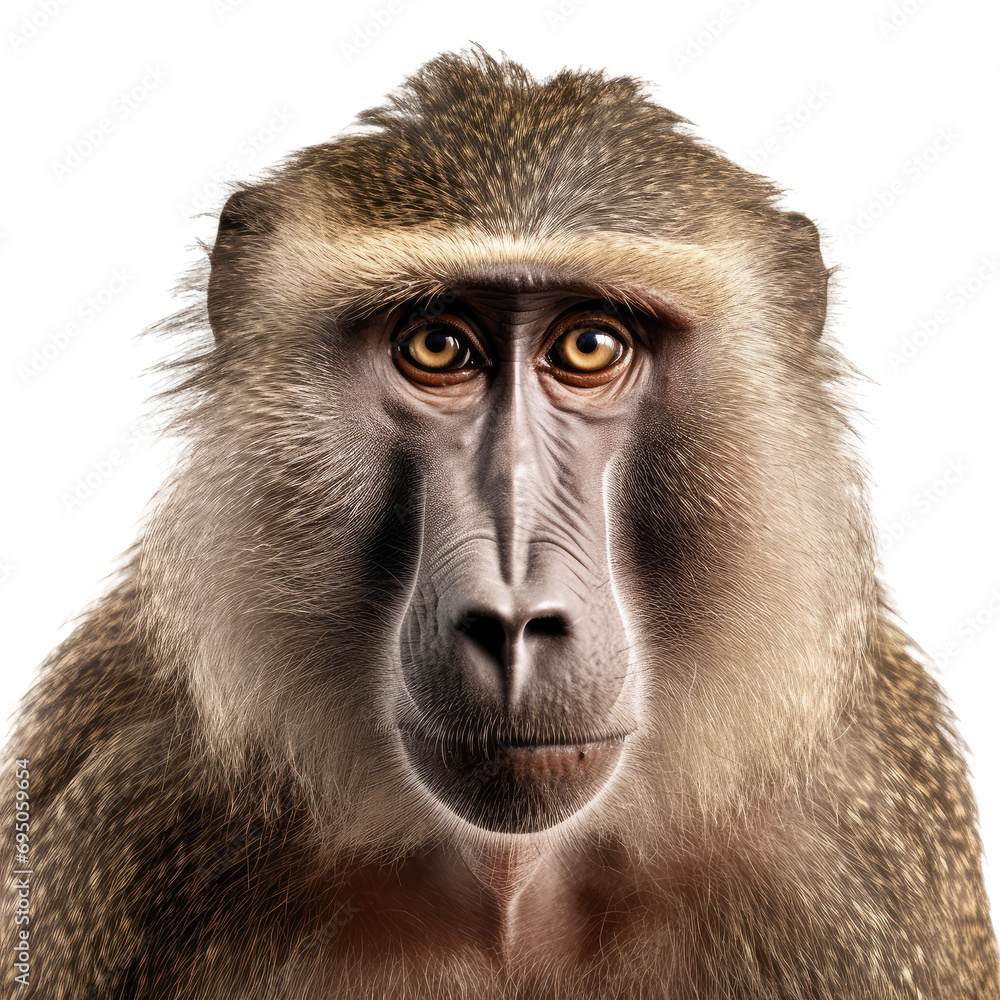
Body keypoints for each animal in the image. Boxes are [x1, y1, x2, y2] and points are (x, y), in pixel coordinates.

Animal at [3, 46, 998, 1000]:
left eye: (589, 346)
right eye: (438, 345)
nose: (515, 619)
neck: (510, 890)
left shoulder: (861, 840)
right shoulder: (126, 798)